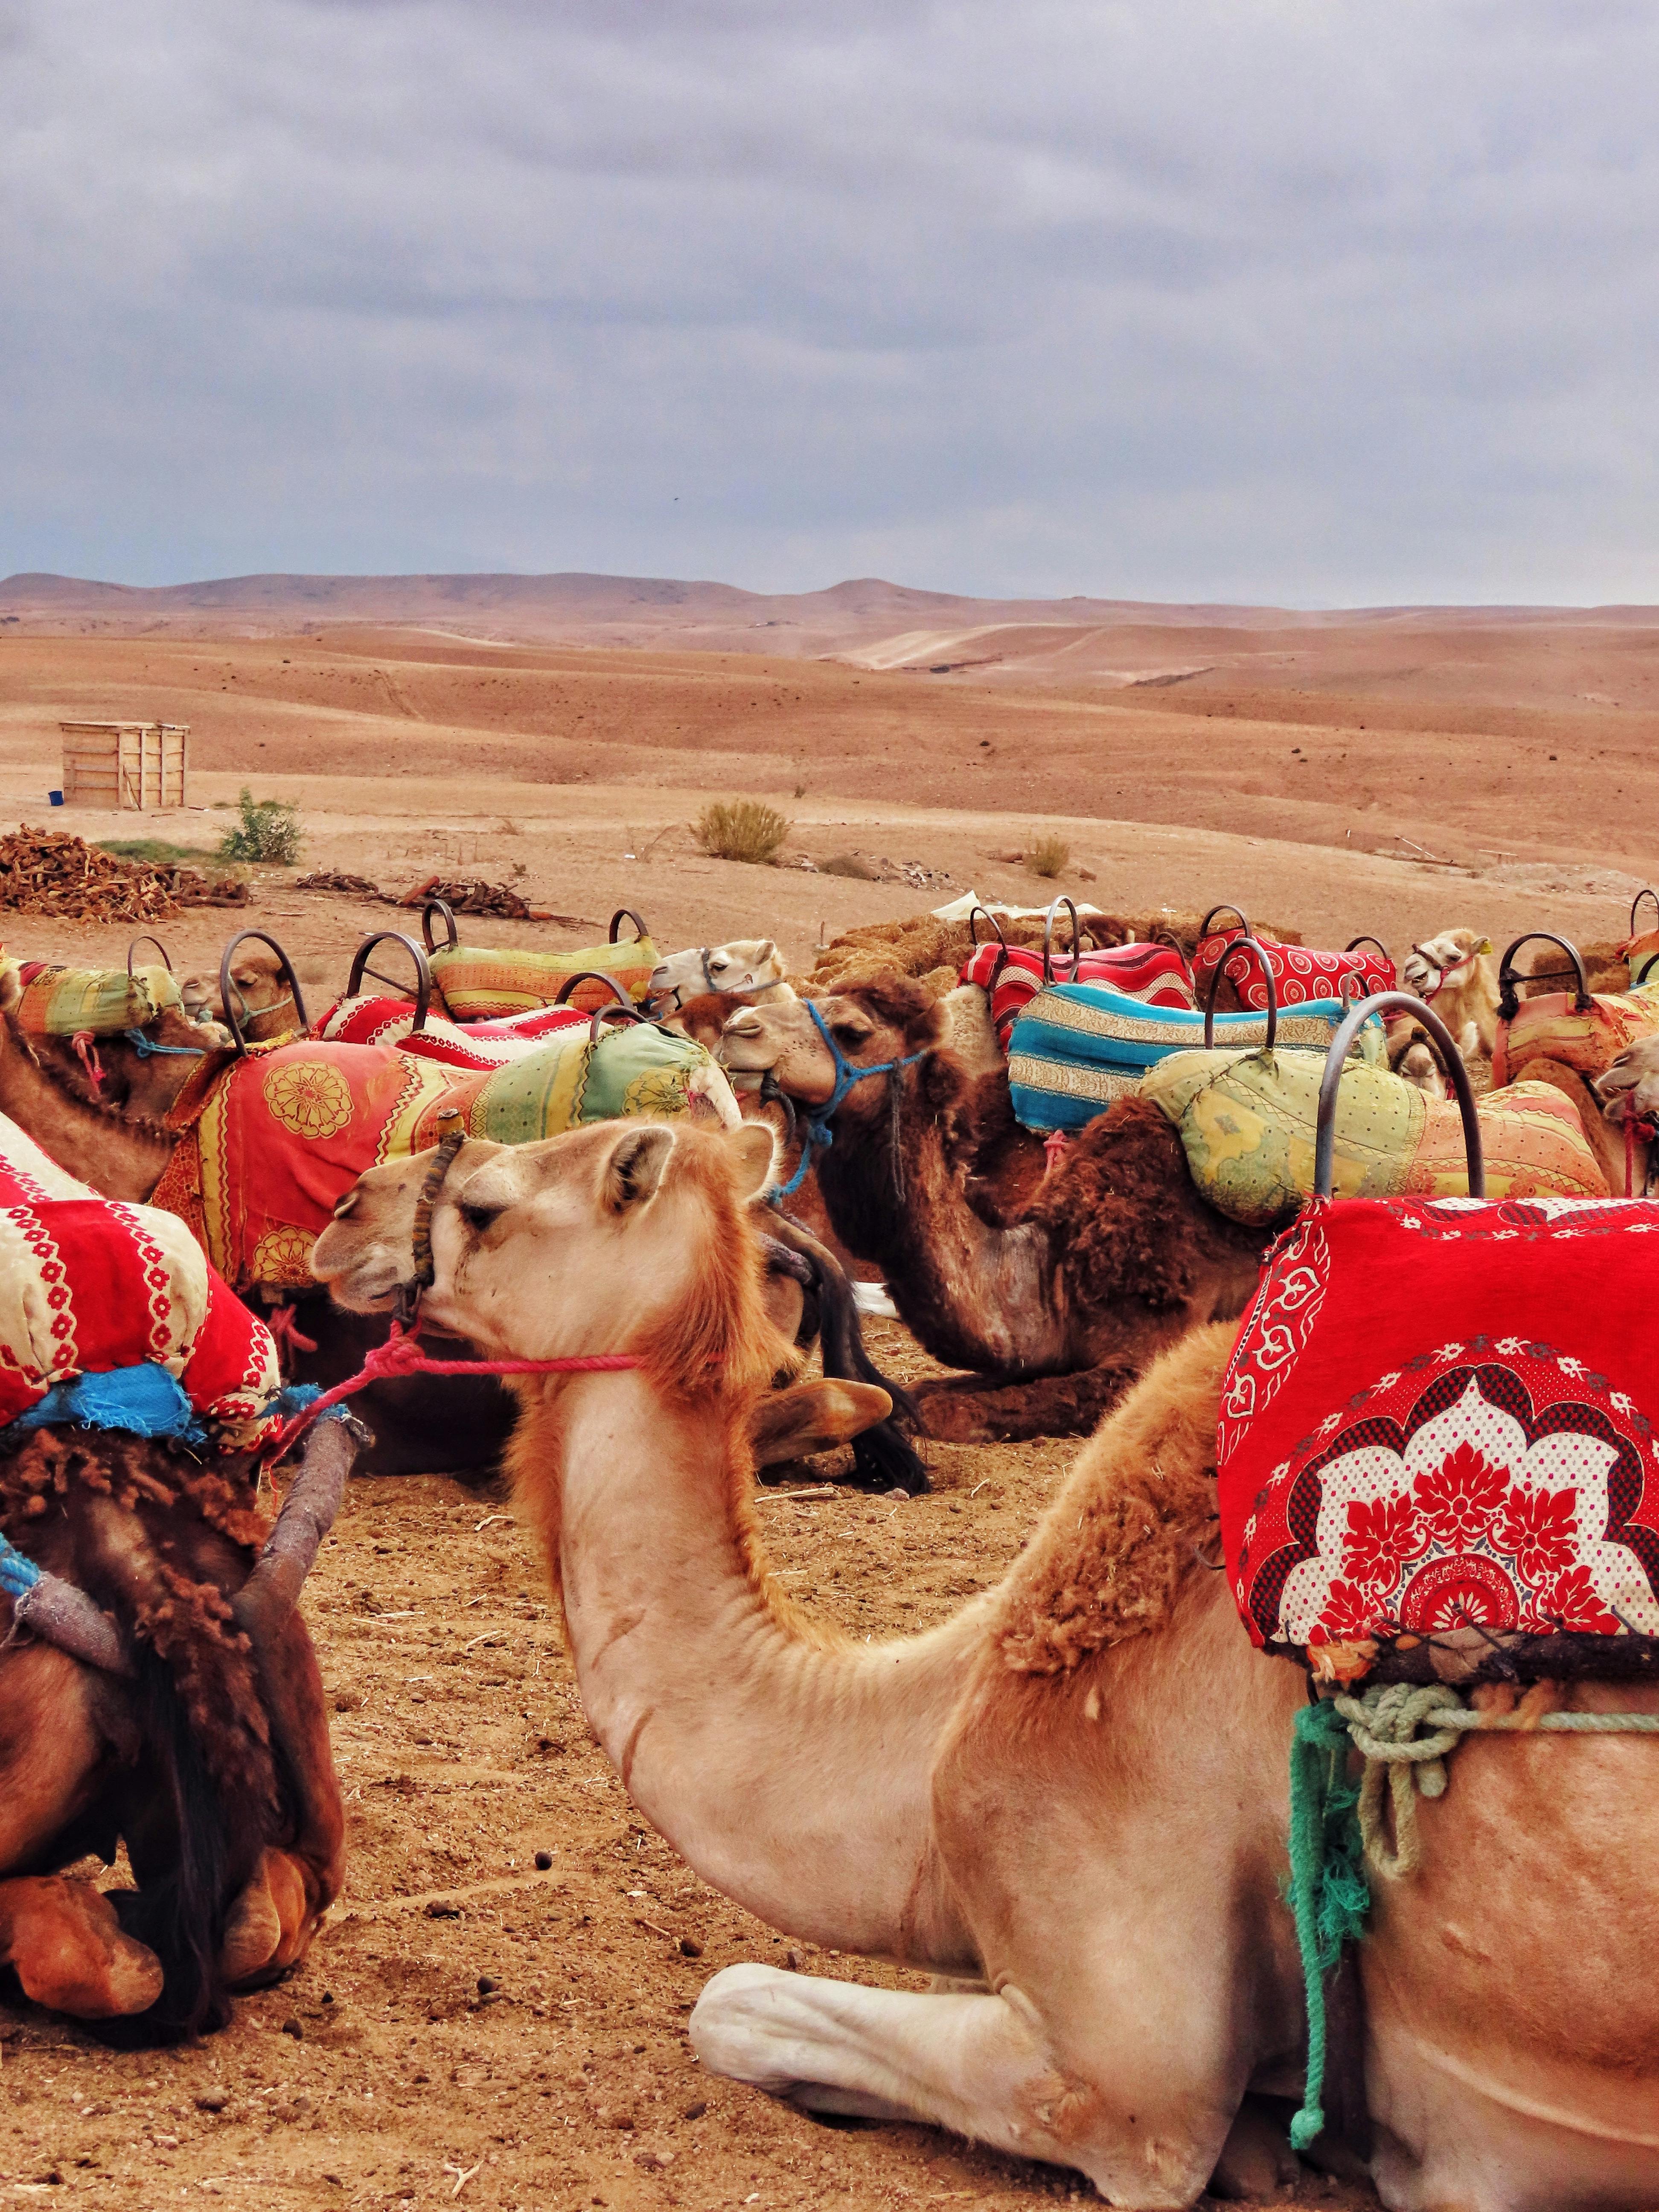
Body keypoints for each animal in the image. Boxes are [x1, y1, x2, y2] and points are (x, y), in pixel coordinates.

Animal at [716, 978, 1267, 1442]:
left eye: (853, 1032)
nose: (738, 1027)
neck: (1055, 1271)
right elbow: (924, 1395)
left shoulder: (1142, 1355)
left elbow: (950, 1411)